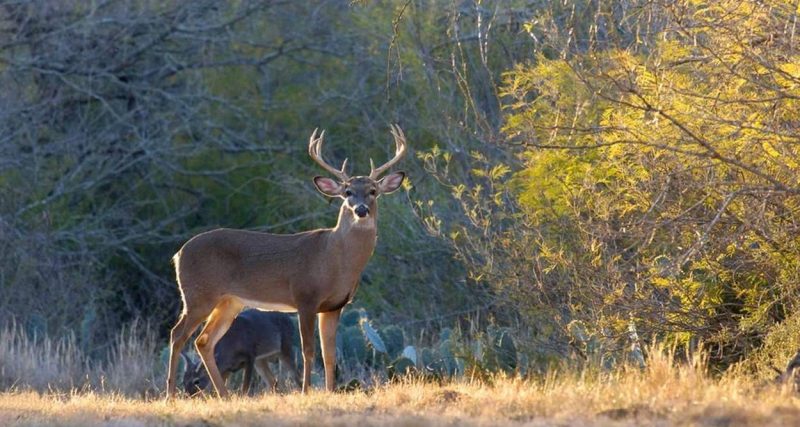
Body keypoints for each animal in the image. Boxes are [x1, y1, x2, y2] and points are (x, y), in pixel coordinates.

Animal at [166, 125, 407, 399]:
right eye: (347, 192)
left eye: (373, 191)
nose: (361, 209)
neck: (334, 259)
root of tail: (179, 253)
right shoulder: (305, 296)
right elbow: (308, 351)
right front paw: (305, 392)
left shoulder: (334, 306)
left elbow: (330, 355)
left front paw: (330, 392)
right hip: (198, 295)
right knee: (177, 335)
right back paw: (171, 395)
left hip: (229, 301)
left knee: (203, 340)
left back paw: (224, 396)